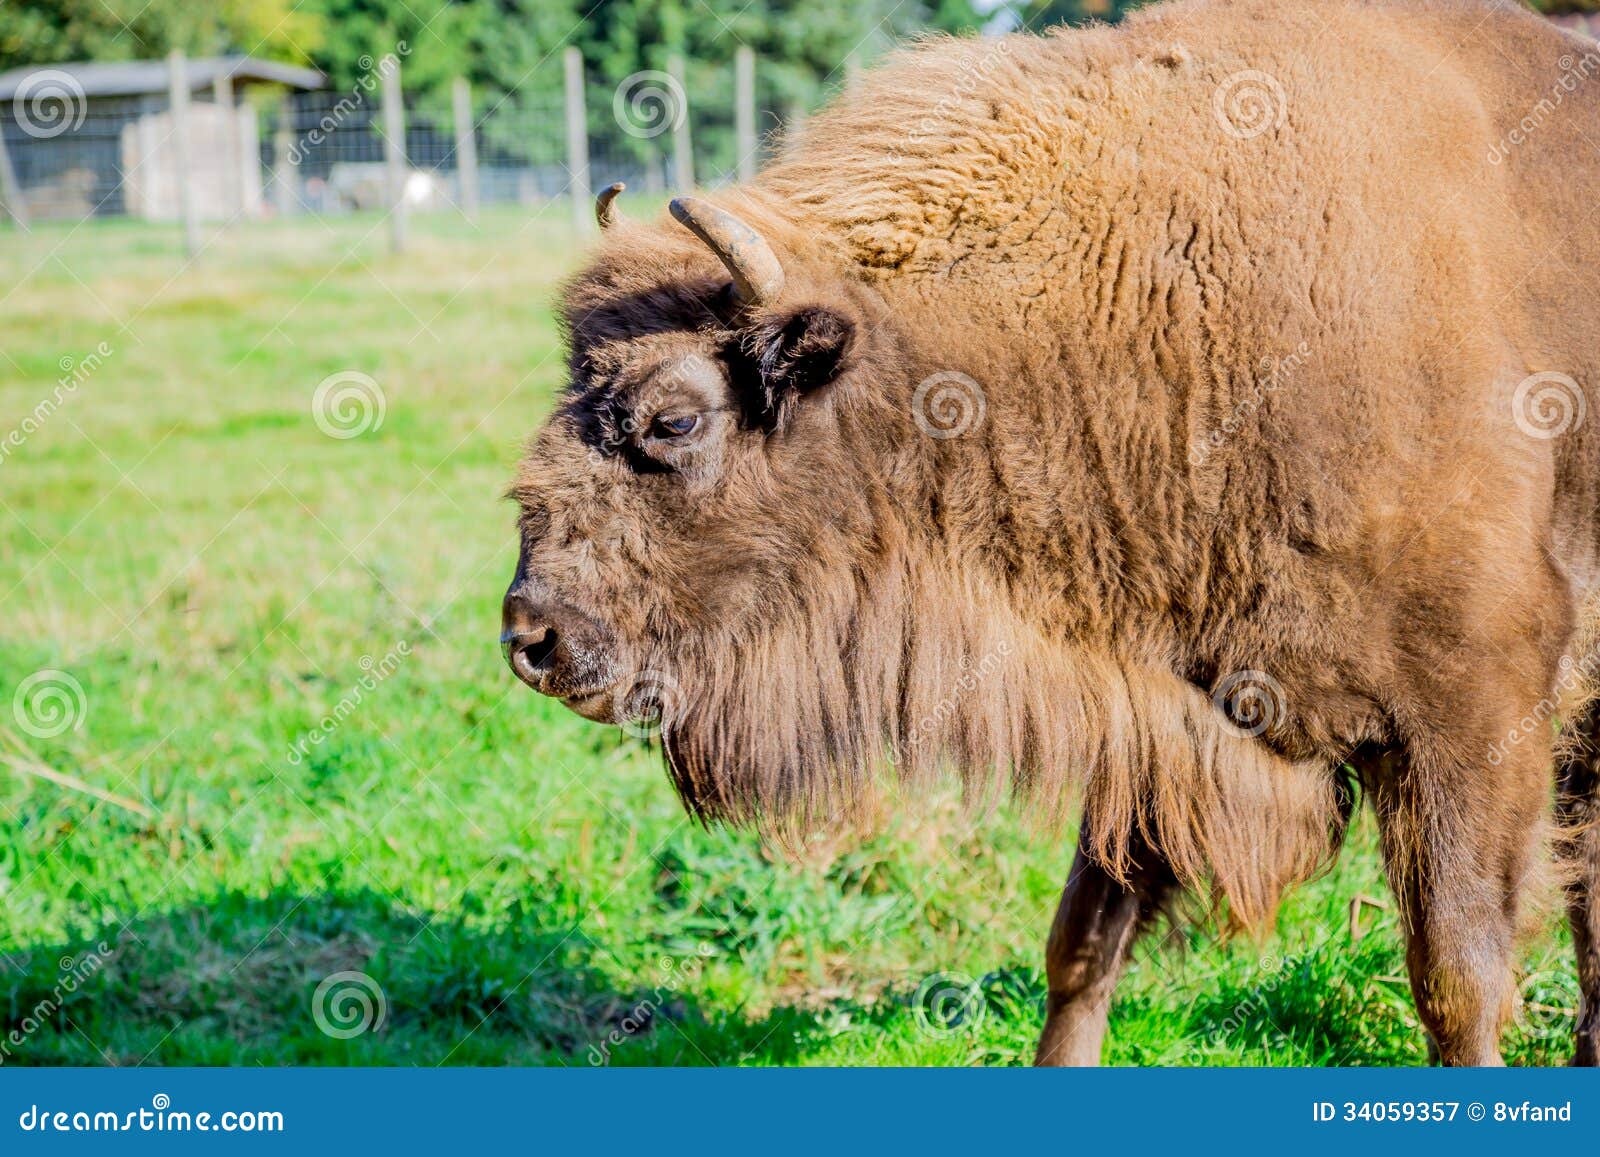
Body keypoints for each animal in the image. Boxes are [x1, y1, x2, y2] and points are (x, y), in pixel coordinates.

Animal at [503, 0, 1600, 1065]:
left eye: (673, 420)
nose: (531, 638)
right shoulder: (1156, 709)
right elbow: (1083, 940)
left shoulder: (1472, 722)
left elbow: (1455, 975)